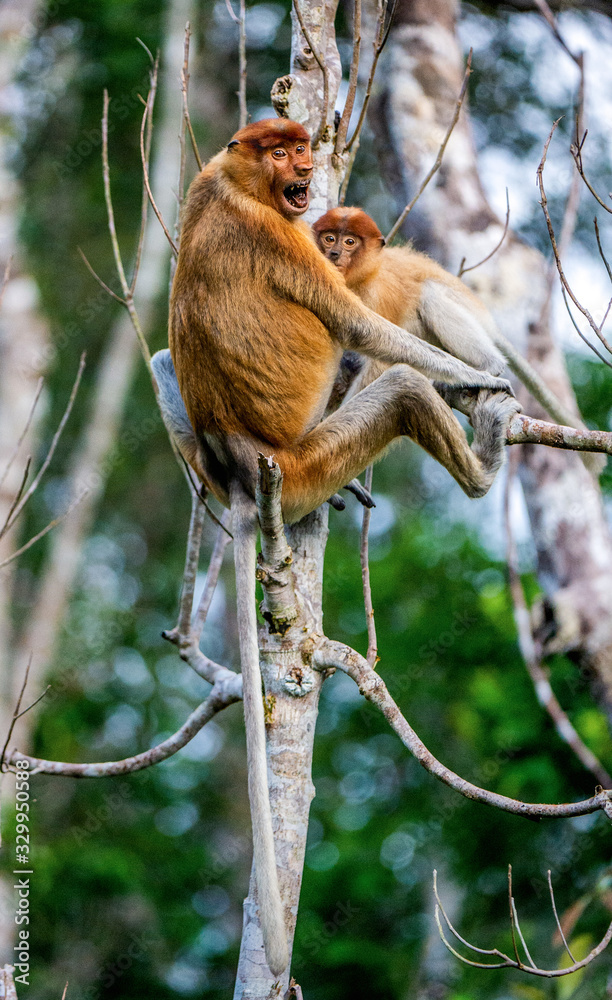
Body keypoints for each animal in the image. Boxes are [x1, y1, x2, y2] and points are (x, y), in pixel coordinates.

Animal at [167, 118, 519, 976]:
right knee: (395, 384)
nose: (305, 164)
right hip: (308, 460)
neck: (238, 184)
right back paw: (483, 457)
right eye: (280, 149)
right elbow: (361, 327)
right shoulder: (284, 239)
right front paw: (484, 383)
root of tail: (241, 469)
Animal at [312, 206, 590, 436]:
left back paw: (488, 368)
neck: (363, 275)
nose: (334, 253)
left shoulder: (377, 296)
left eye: (349, 242)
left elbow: (380, 360)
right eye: (329, 238)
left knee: (431, 295)